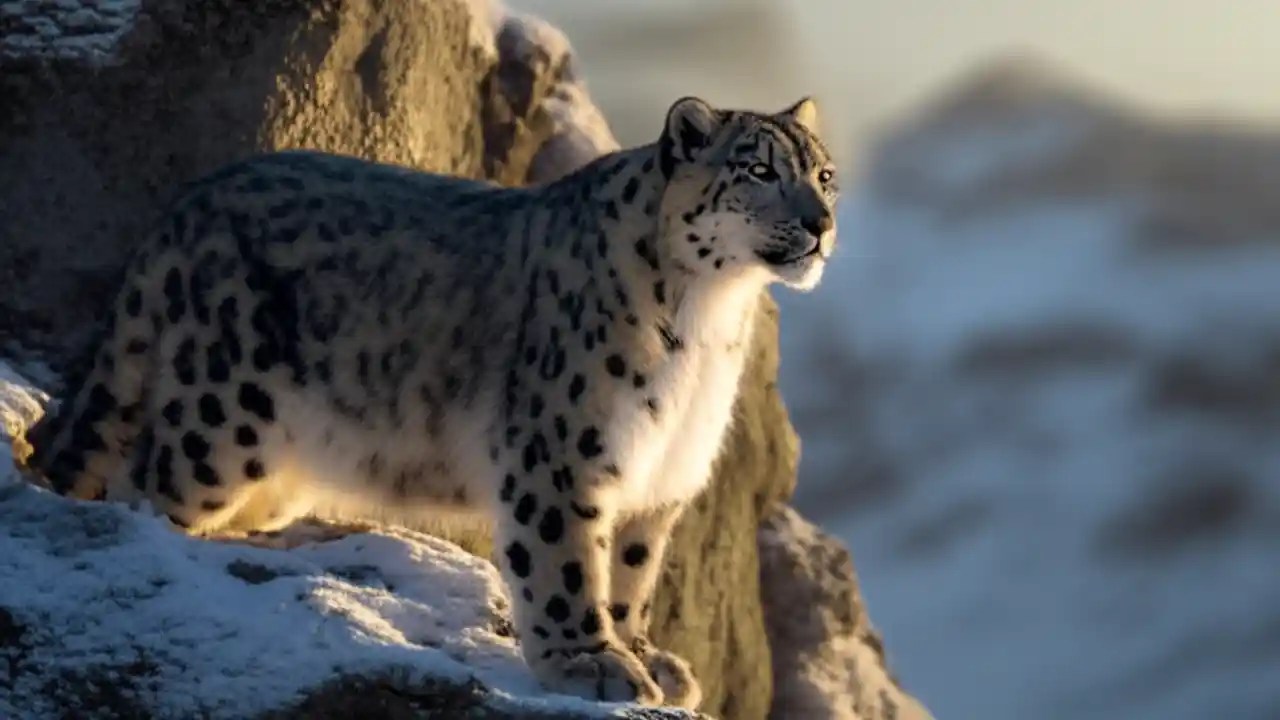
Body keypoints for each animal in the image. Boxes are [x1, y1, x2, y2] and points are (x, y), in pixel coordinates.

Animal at [23, 95, 838, 709]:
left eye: (825, 175)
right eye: (759, 169)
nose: (821, 223)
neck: (711, 322)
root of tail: (185, 207)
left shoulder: (661, 475)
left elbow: (632, 572)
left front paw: (644, 653)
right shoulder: (563, 455)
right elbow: (566, 563)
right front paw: (590, 662)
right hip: (220, 422)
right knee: (143, 490)